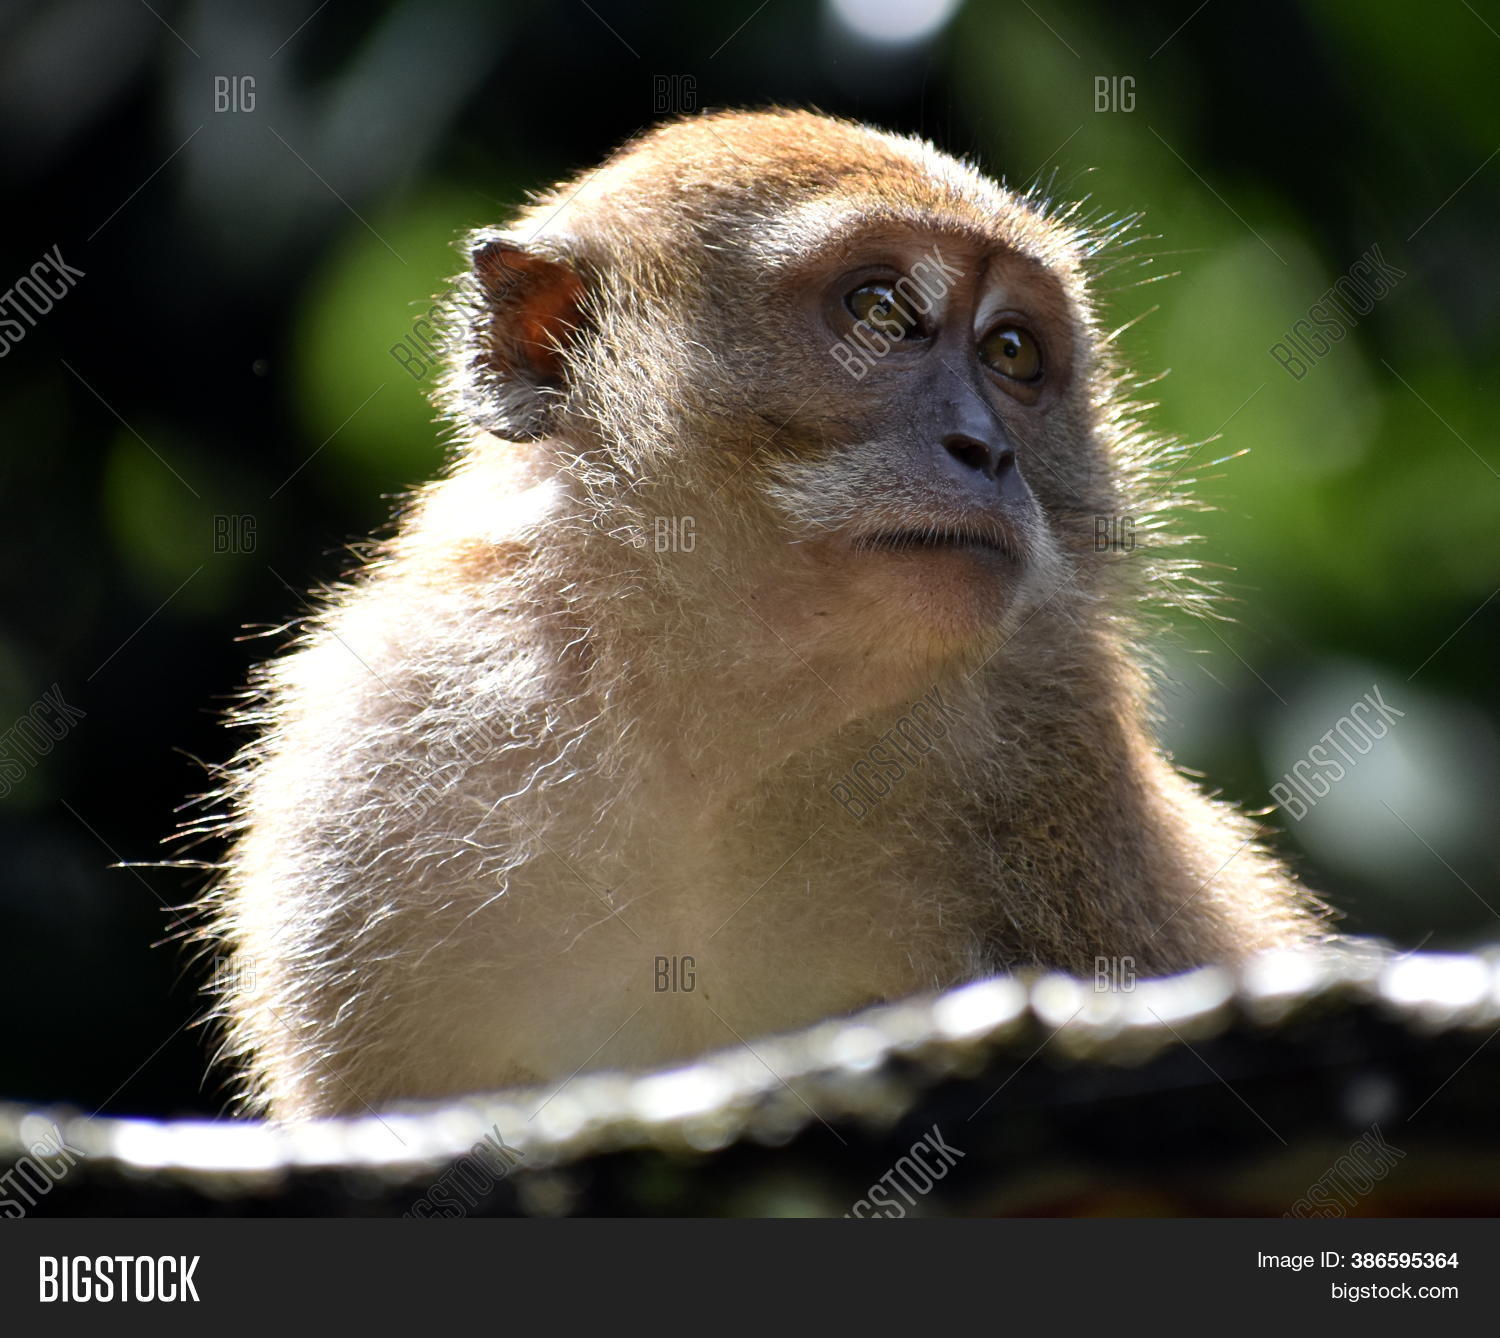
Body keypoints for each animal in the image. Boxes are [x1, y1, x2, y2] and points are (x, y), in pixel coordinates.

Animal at [193, 109, 1326, 1119]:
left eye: (1011, 352)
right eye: (881, 312)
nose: (989, 451)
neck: (719, 725)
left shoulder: (1065, 776)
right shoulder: (374, 755)